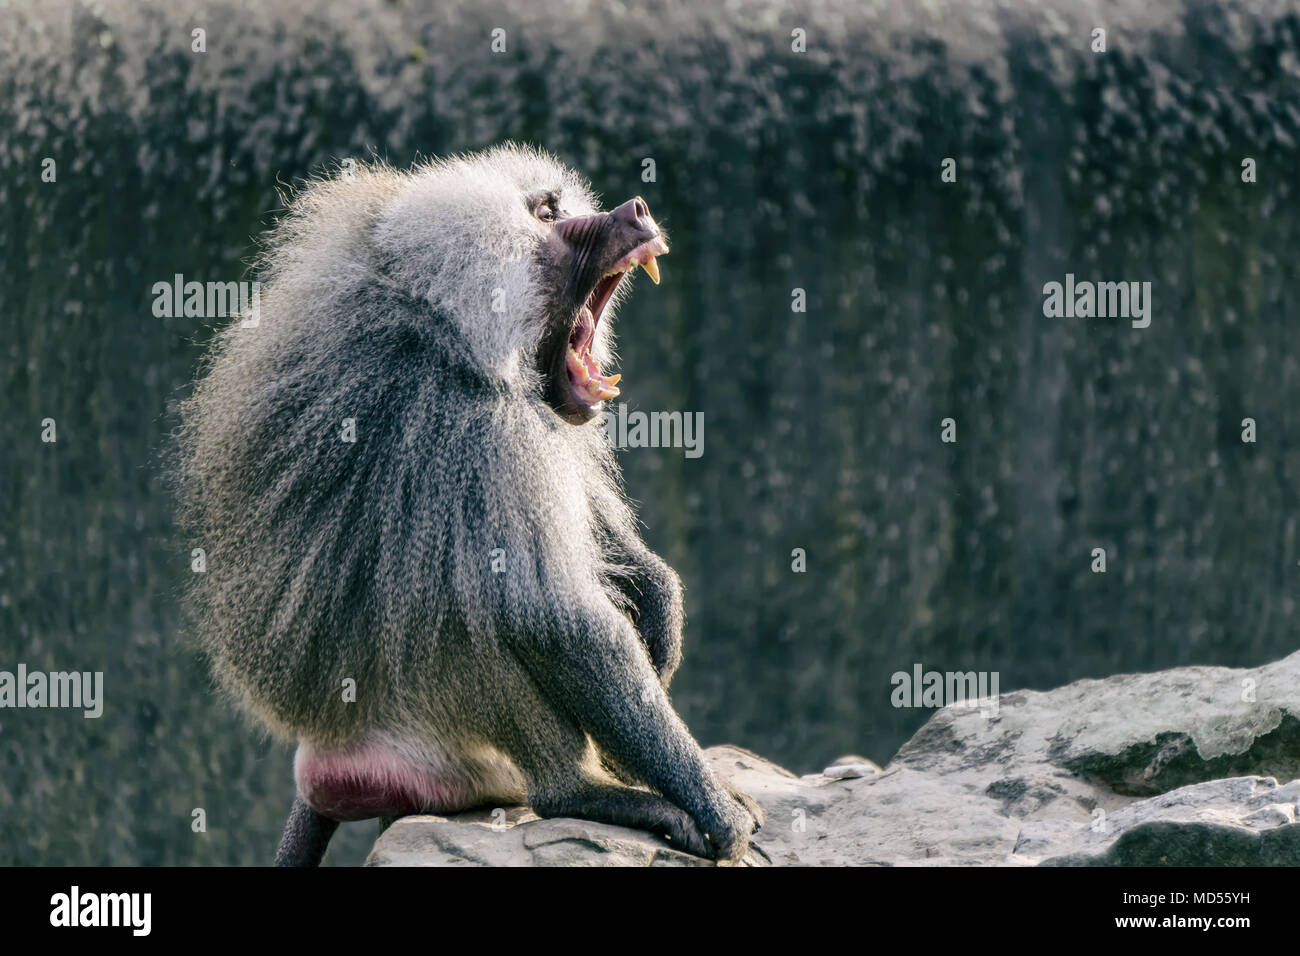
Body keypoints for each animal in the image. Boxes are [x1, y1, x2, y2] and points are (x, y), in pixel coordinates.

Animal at [176, 144, 762, 865]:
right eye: (547, 214)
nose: (638, 207)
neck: (456, 332)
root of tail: (326, 754)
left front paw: (661, 594)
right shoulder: (479, 433)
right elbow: (558, 620)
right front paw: (716, 810)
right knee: (479, 614)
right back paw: (589, 792)